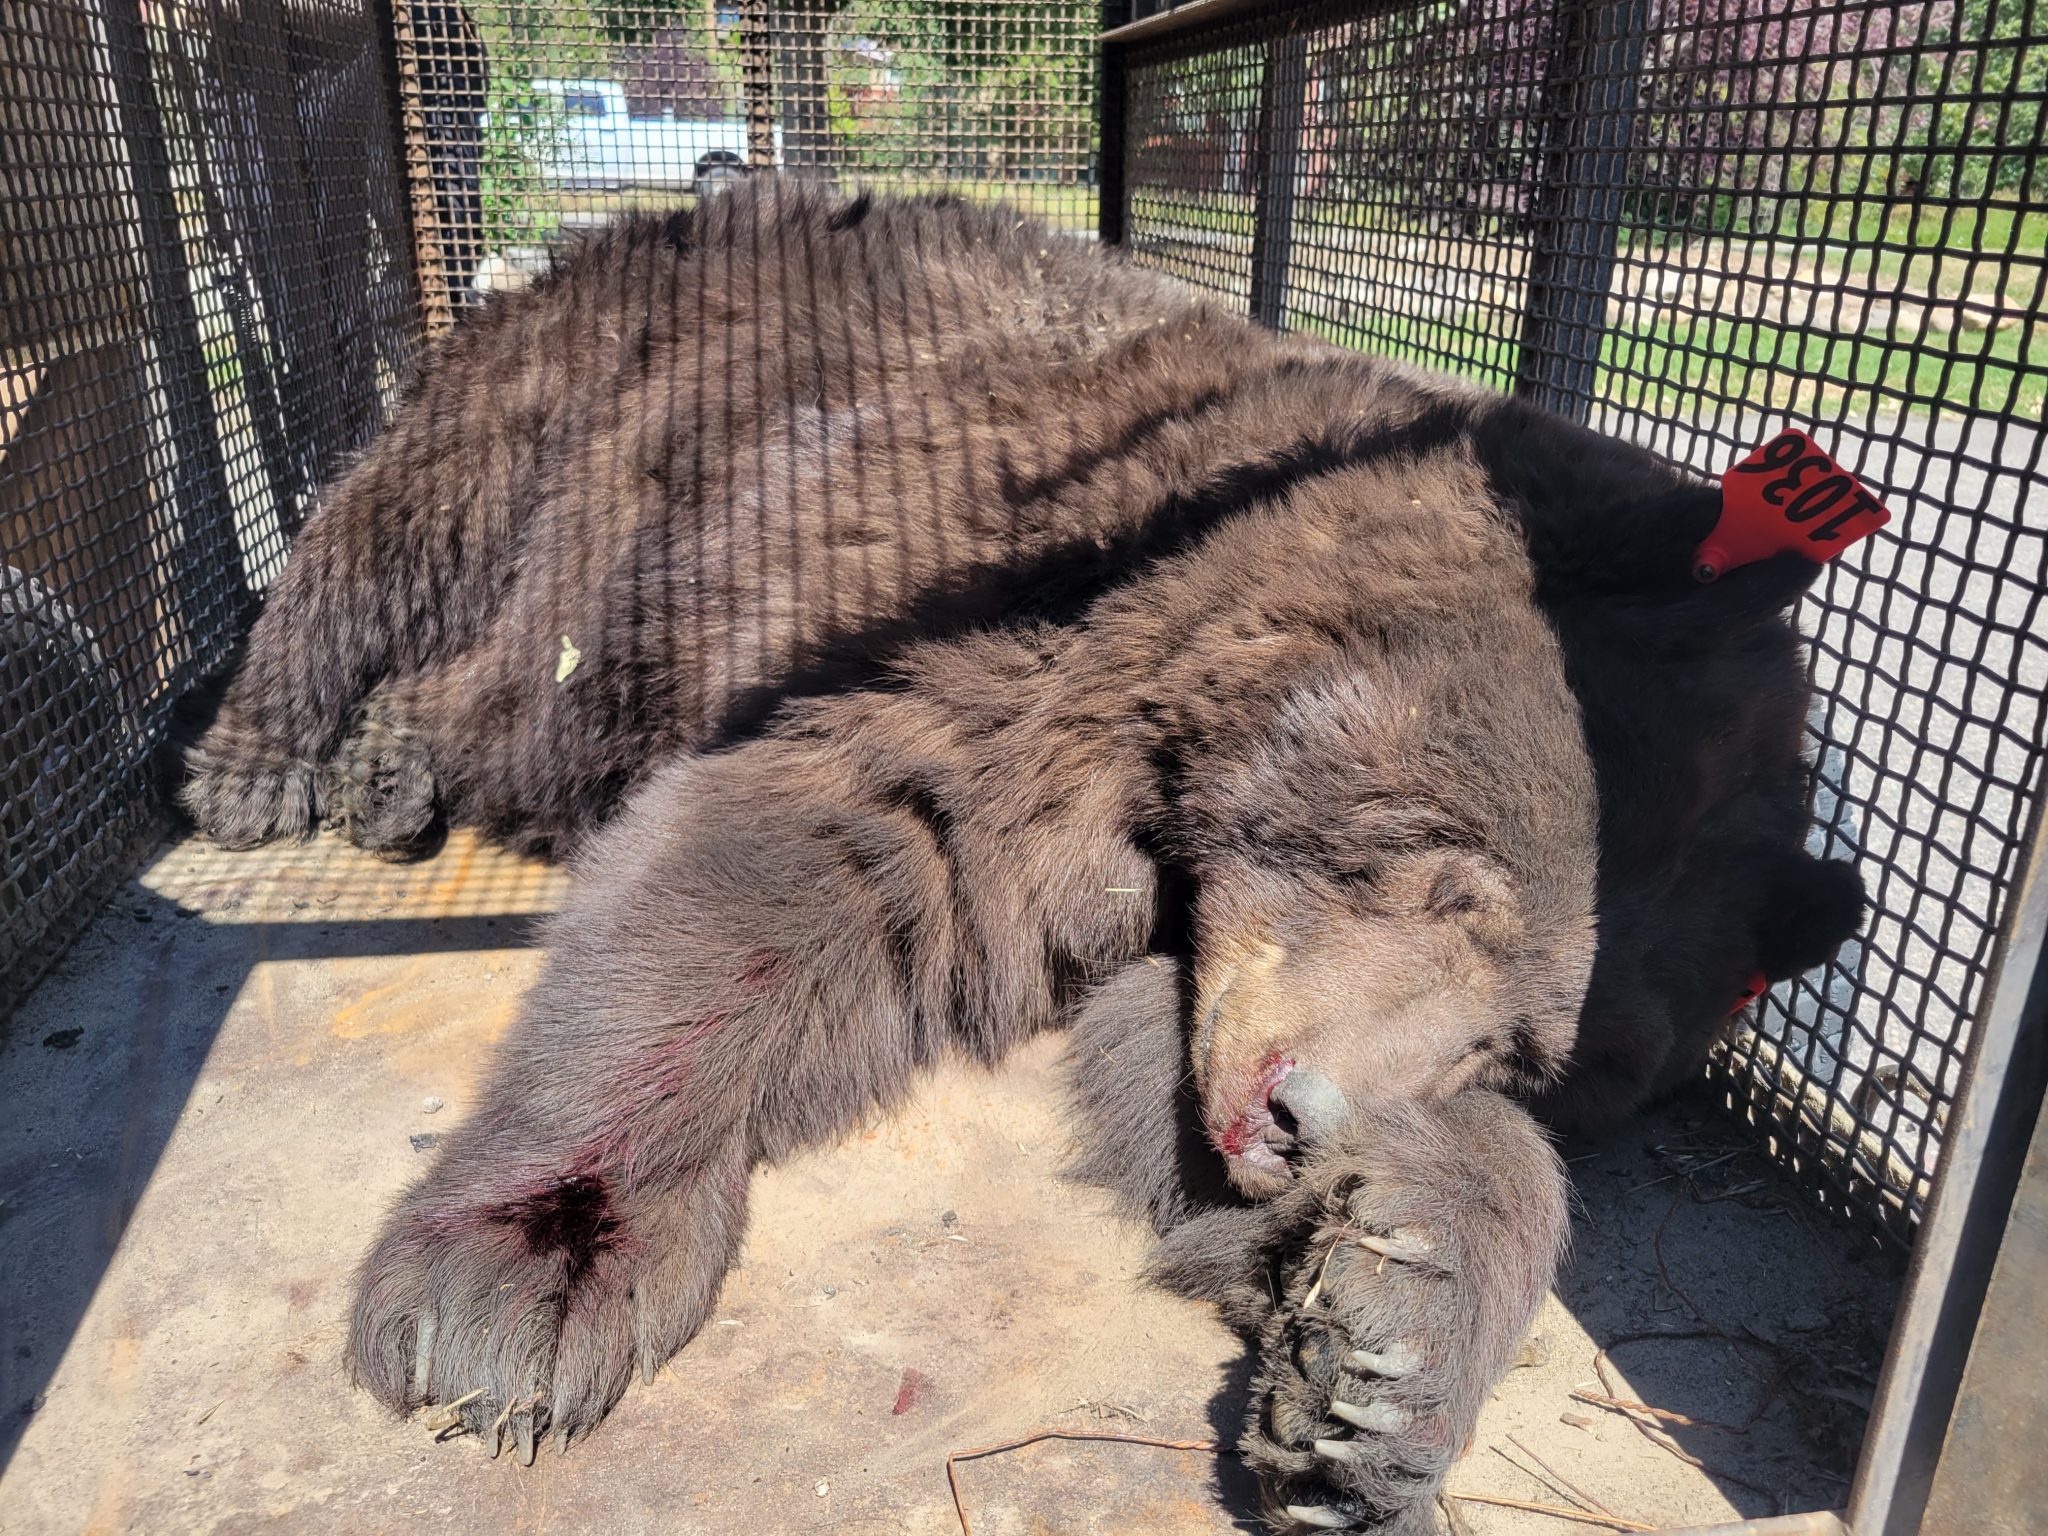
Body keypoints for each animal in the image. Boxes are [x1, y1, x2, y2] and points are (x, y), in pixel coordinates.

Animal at [180, 183, 1867, 1531]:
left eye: (1540, 1052)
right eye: (1450, 873)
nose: (1300, 1123)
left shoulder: (1198, 936)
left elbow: (1157, 1076)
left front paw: (1382, 1346)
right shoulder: (1046, 651)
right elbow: (811, 861)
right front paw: (525, 1279)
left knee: (499, 684)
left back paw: (393, 768)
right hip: (583, 404)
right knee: (390, 525)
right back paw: (263, 765)